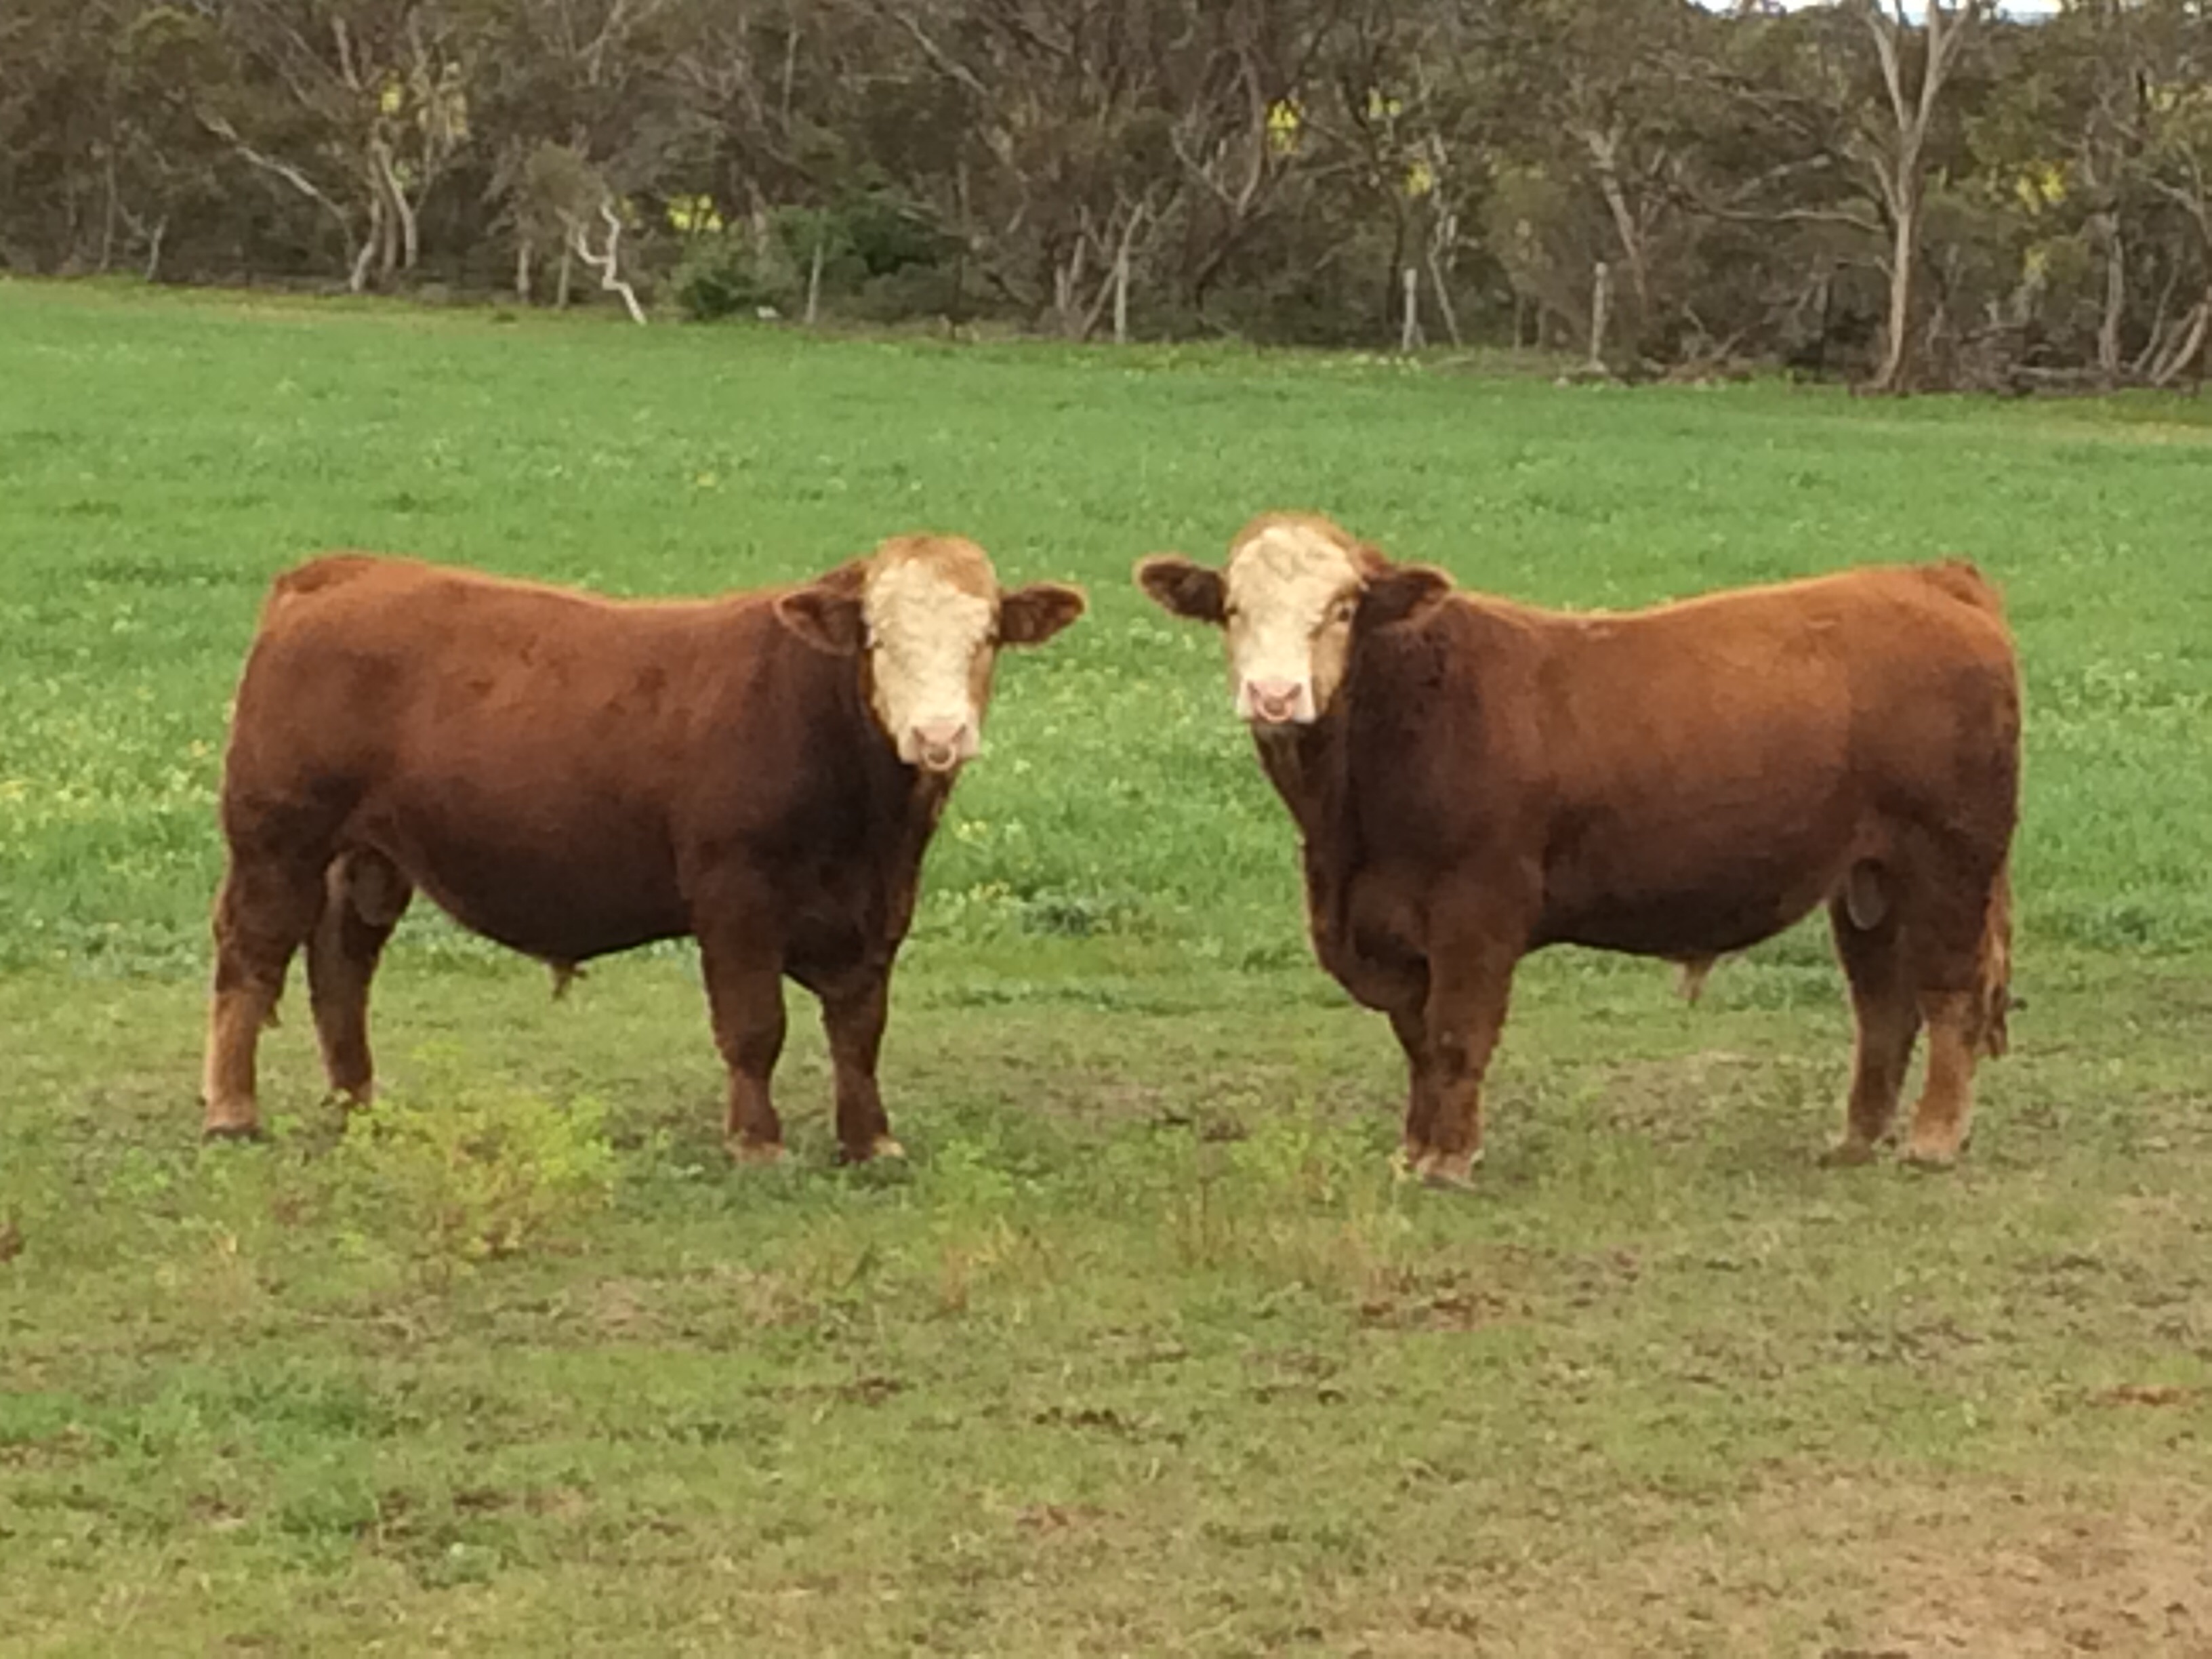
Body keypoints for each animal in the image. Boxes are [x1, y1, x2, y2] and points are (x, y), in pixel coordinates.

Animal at [201, 536, 1086, 1162]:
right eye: (876, 637)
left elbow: (859, 1028)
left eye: (987, 635)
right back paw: (233, 1113)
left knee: (341, 968)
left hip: (369, 859)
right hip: (277, 838)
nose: (940, 734)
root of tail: (343, 572)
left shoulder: (881, 908)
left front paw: (871, 1140)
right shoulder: (735, 895)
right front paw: (756, 1142)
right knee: (251, 957)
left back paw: (356, 1103)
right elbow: (754, 1025)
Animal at [1136, 512, 2018, 1183]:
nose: (1275, 695)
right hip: (1867, 877)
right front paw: (1415, 1150)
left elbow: (1457, 1033)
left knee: (1951, 993)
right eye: (1232, 608)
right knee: (1882, 1003)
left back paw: (1933, 1140)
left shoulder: (1477, 908)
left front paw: (1449, 1161)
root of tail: (1929, 578)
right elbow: (1418, 1040)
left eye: (1345, 607)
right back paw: (1856, 1139)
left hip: (1950, 861)